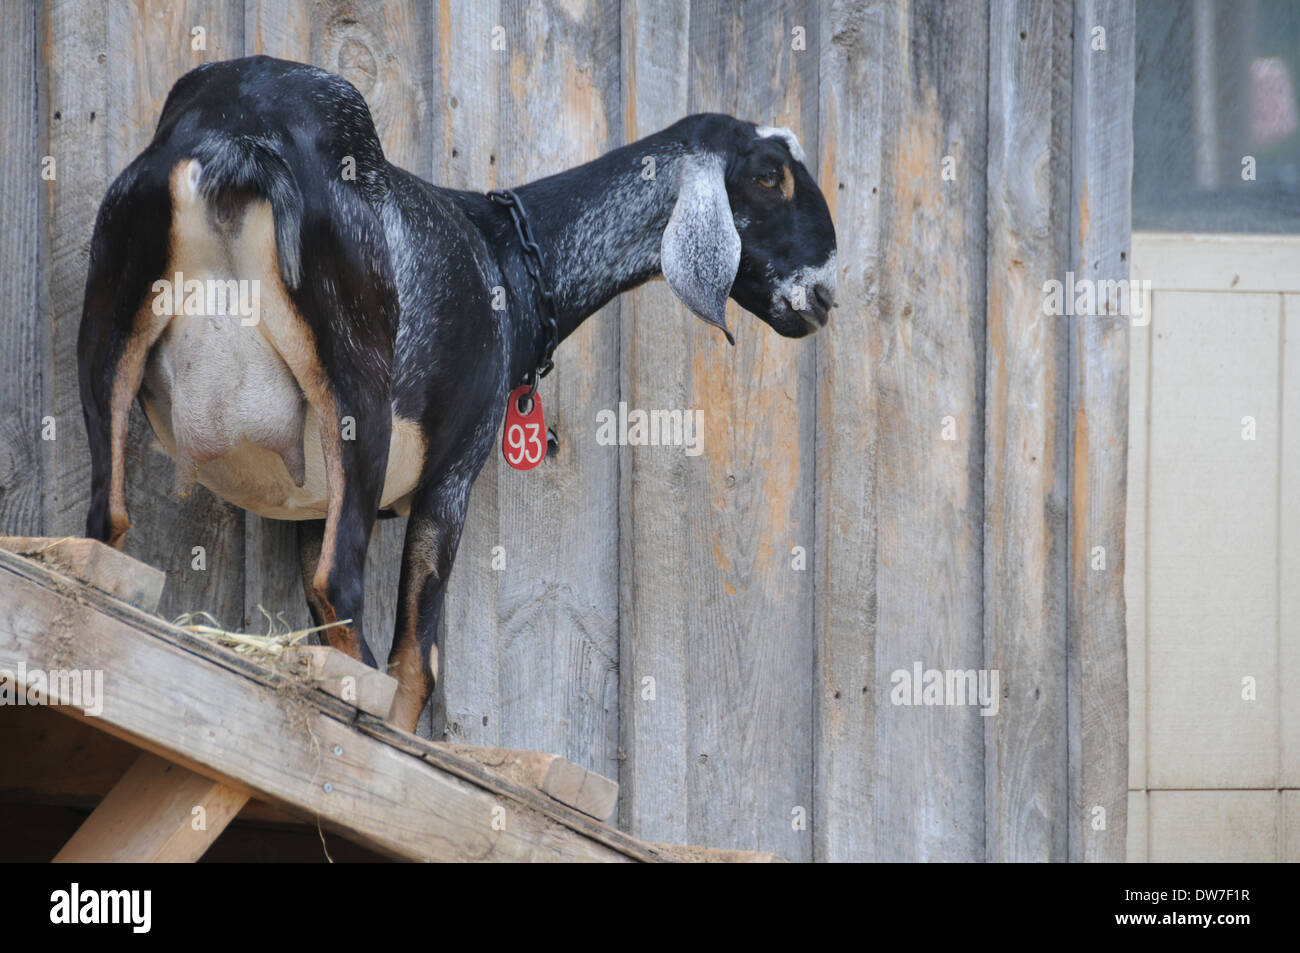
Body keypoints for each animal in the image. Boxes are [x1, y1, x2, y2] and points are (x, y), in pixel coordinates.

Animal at [78, 56, 838, 730]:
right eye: (768, 176)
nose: (825, 296)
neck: (508, 257)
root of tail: (236, 145)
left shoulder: (310, 502)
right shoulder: (456, 470)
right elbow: (418, 658)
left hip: (110, 326)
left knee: (107, 522)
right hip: (360, 396)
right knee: (342, 583)